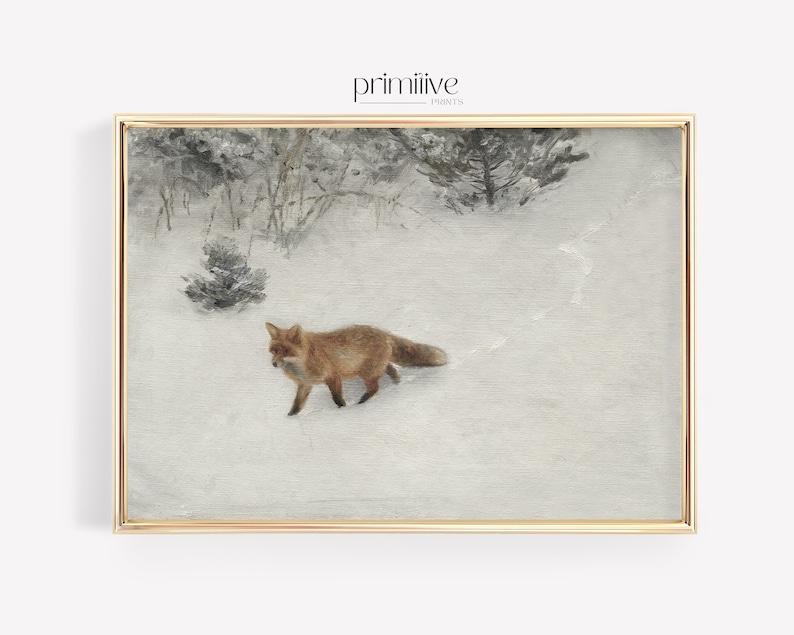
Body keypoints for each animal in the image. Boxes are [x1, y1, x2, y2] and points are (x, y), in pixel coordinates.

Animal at [265, 322, 447, 415]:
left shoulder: (333, 377)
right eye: (274, 351)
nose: (274, 364)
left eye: (286, 351)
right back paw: (397, 384)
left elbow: (338, 399)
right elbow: (296, 406)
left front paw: (344, 411)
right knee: (391, 369)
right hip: (375, 368)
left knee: (375, 388)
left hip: (367, 373)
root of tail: (383, 333)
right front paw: (289, 419)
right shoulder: (305, 384)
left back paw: (361, 404)